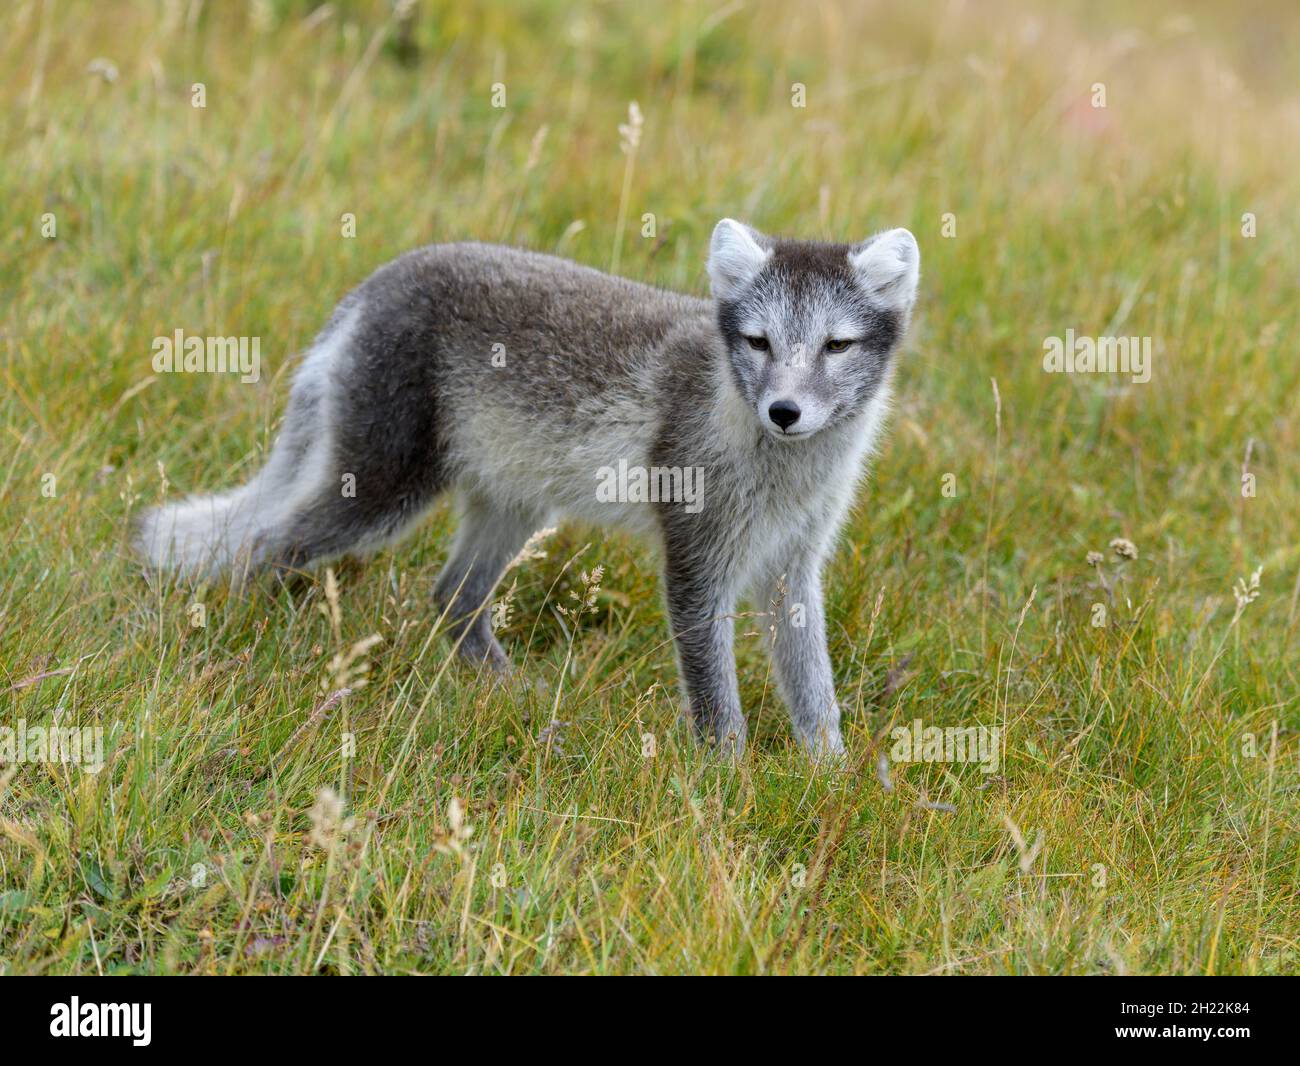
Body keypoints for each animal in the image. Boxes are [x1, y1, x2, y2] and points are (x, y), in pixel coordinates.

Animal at [135, 219, 920, 757]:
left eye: (836, 346)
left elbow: (814, 686)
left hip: (513, 504)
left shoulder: (796, 562)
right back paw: (248, 630)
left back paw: (516, 696)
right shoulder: (697, 555)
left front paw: (829, 772)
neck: (785, 469)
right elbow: (714, 693)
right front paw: (729, 780)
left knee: (451, 596)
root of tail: (375, 283)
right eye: (758, 342)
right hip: (377, 496)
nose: (783, 412)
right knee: (265, 541)